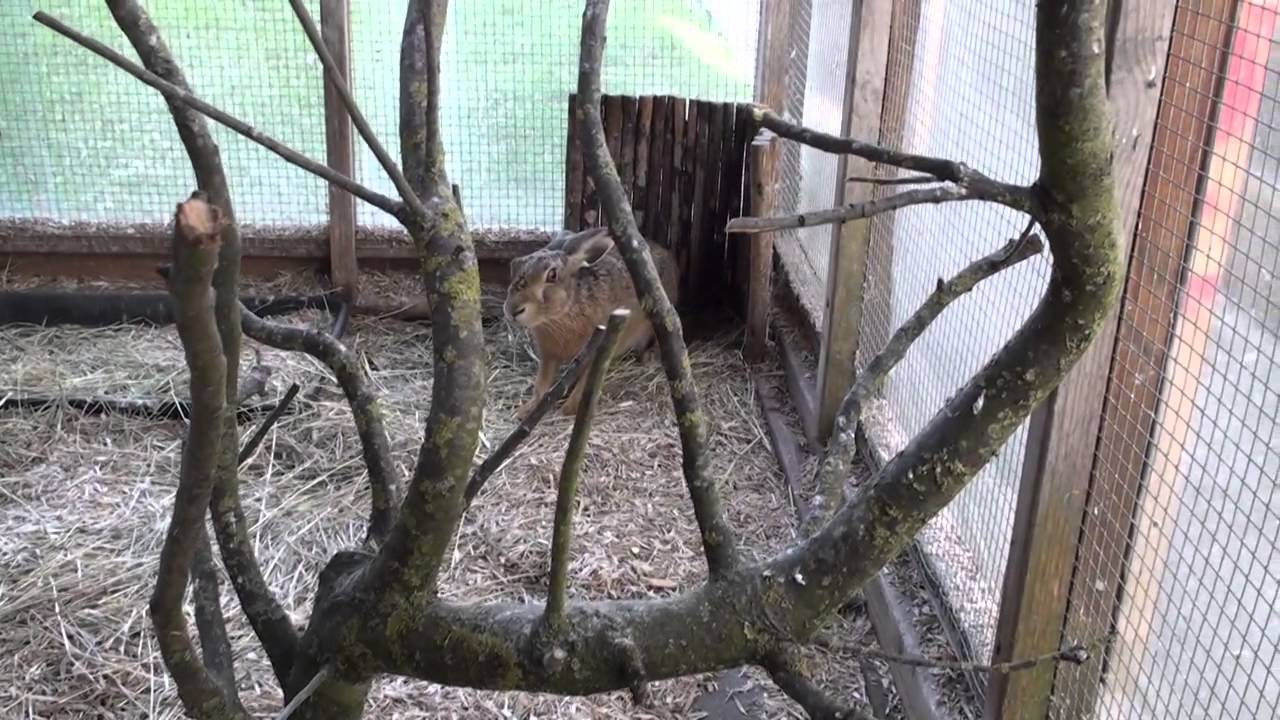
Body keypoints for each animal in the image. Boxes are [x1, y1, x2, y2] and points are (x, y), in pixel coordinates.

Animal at [504, 226, 680, 419]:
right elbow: (541, 383)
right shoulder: (549, 356)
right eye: (513, 265)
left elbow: (585, 384)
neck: (562, 314)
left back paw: (649, 358)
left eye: (552, 275)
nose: (512, 310)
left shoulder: (595, 353)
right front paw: (526, 410)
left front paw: (568, 410)